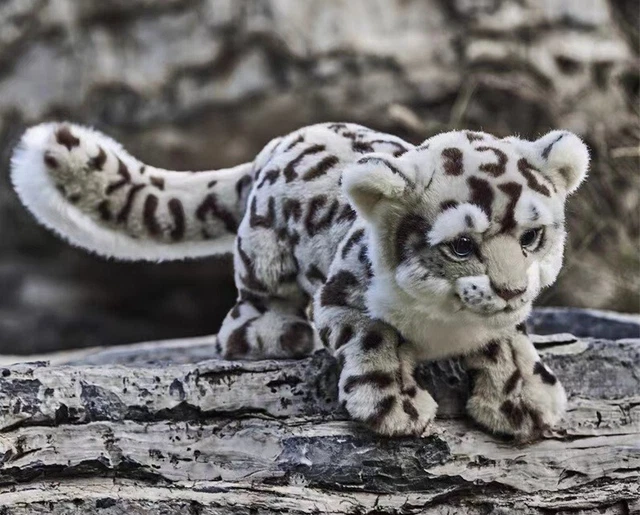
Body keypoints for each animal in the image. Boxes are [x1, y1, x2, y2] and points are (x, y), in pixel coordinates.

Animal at [10, 121, 589, 439]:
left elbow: (506, 343)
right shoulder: (342, 299)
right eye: (462, 245)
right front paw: (395, 407)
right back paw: (280, 333)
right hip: (261, 257)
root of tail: (276, 143)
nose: (513, 290)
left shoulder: (500, 323)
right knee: (241, 318)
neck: (446, 324)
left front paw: (524, 400)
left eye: (532, 236)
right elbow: (374, 337)